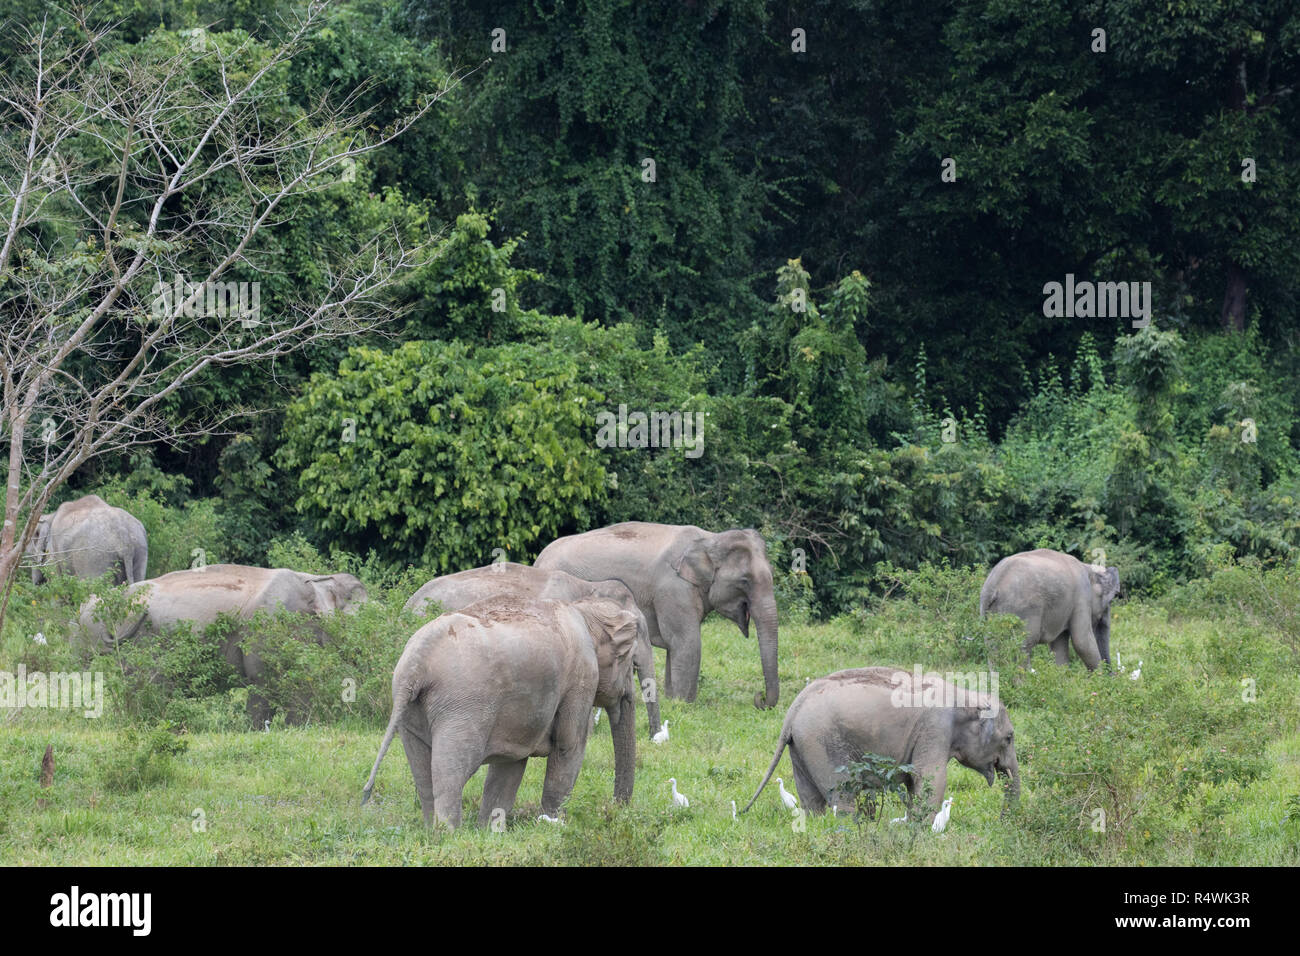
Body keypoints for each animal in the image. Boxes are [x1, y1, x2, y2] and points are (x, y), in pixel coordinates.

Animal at [361, 596, 640, 829]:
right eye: (631, 663)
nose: (616, 809)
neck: (583, 610)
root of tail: (416, 664)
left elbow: (510, 764)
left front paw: (490, 831)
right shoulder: (582, 677)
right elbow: (568, 746)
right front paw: (552, 824)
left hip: (410, 709)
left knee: (422, 769)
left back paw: (432, 832)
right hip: (463, 706)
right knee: (453, 768)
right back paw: (449, 834)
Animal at [535, 522, 780, 709]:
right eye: (745, 581)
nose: (760, 699)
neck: (710, 539)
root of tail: (539, 558)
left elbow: (676, 646)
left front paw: (672, 700)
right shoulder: (674, 590)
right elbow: (687, 642)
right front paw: (683, 705)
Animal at [742, 666, 1020, 819]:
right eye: (1009, 737)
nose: (1002, 820)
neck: (965, 696)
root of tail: (792, 710)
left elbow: (914, 782)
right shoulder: (935, 728)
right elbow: (930, 778)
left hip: (801, 746)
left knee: (811, 799)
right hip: (821, 743)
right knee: (842, 796)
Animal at [980, 549, 1120, 669]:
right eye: (1109, 602)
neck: (1087, 568)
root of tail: (994, 586)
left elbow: (1059, 646)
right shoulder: (1082, 598)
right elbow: (1082, 642)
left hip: (988, 613)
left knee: (992, 647)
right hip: (1023, 610)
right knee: (1022, 647)